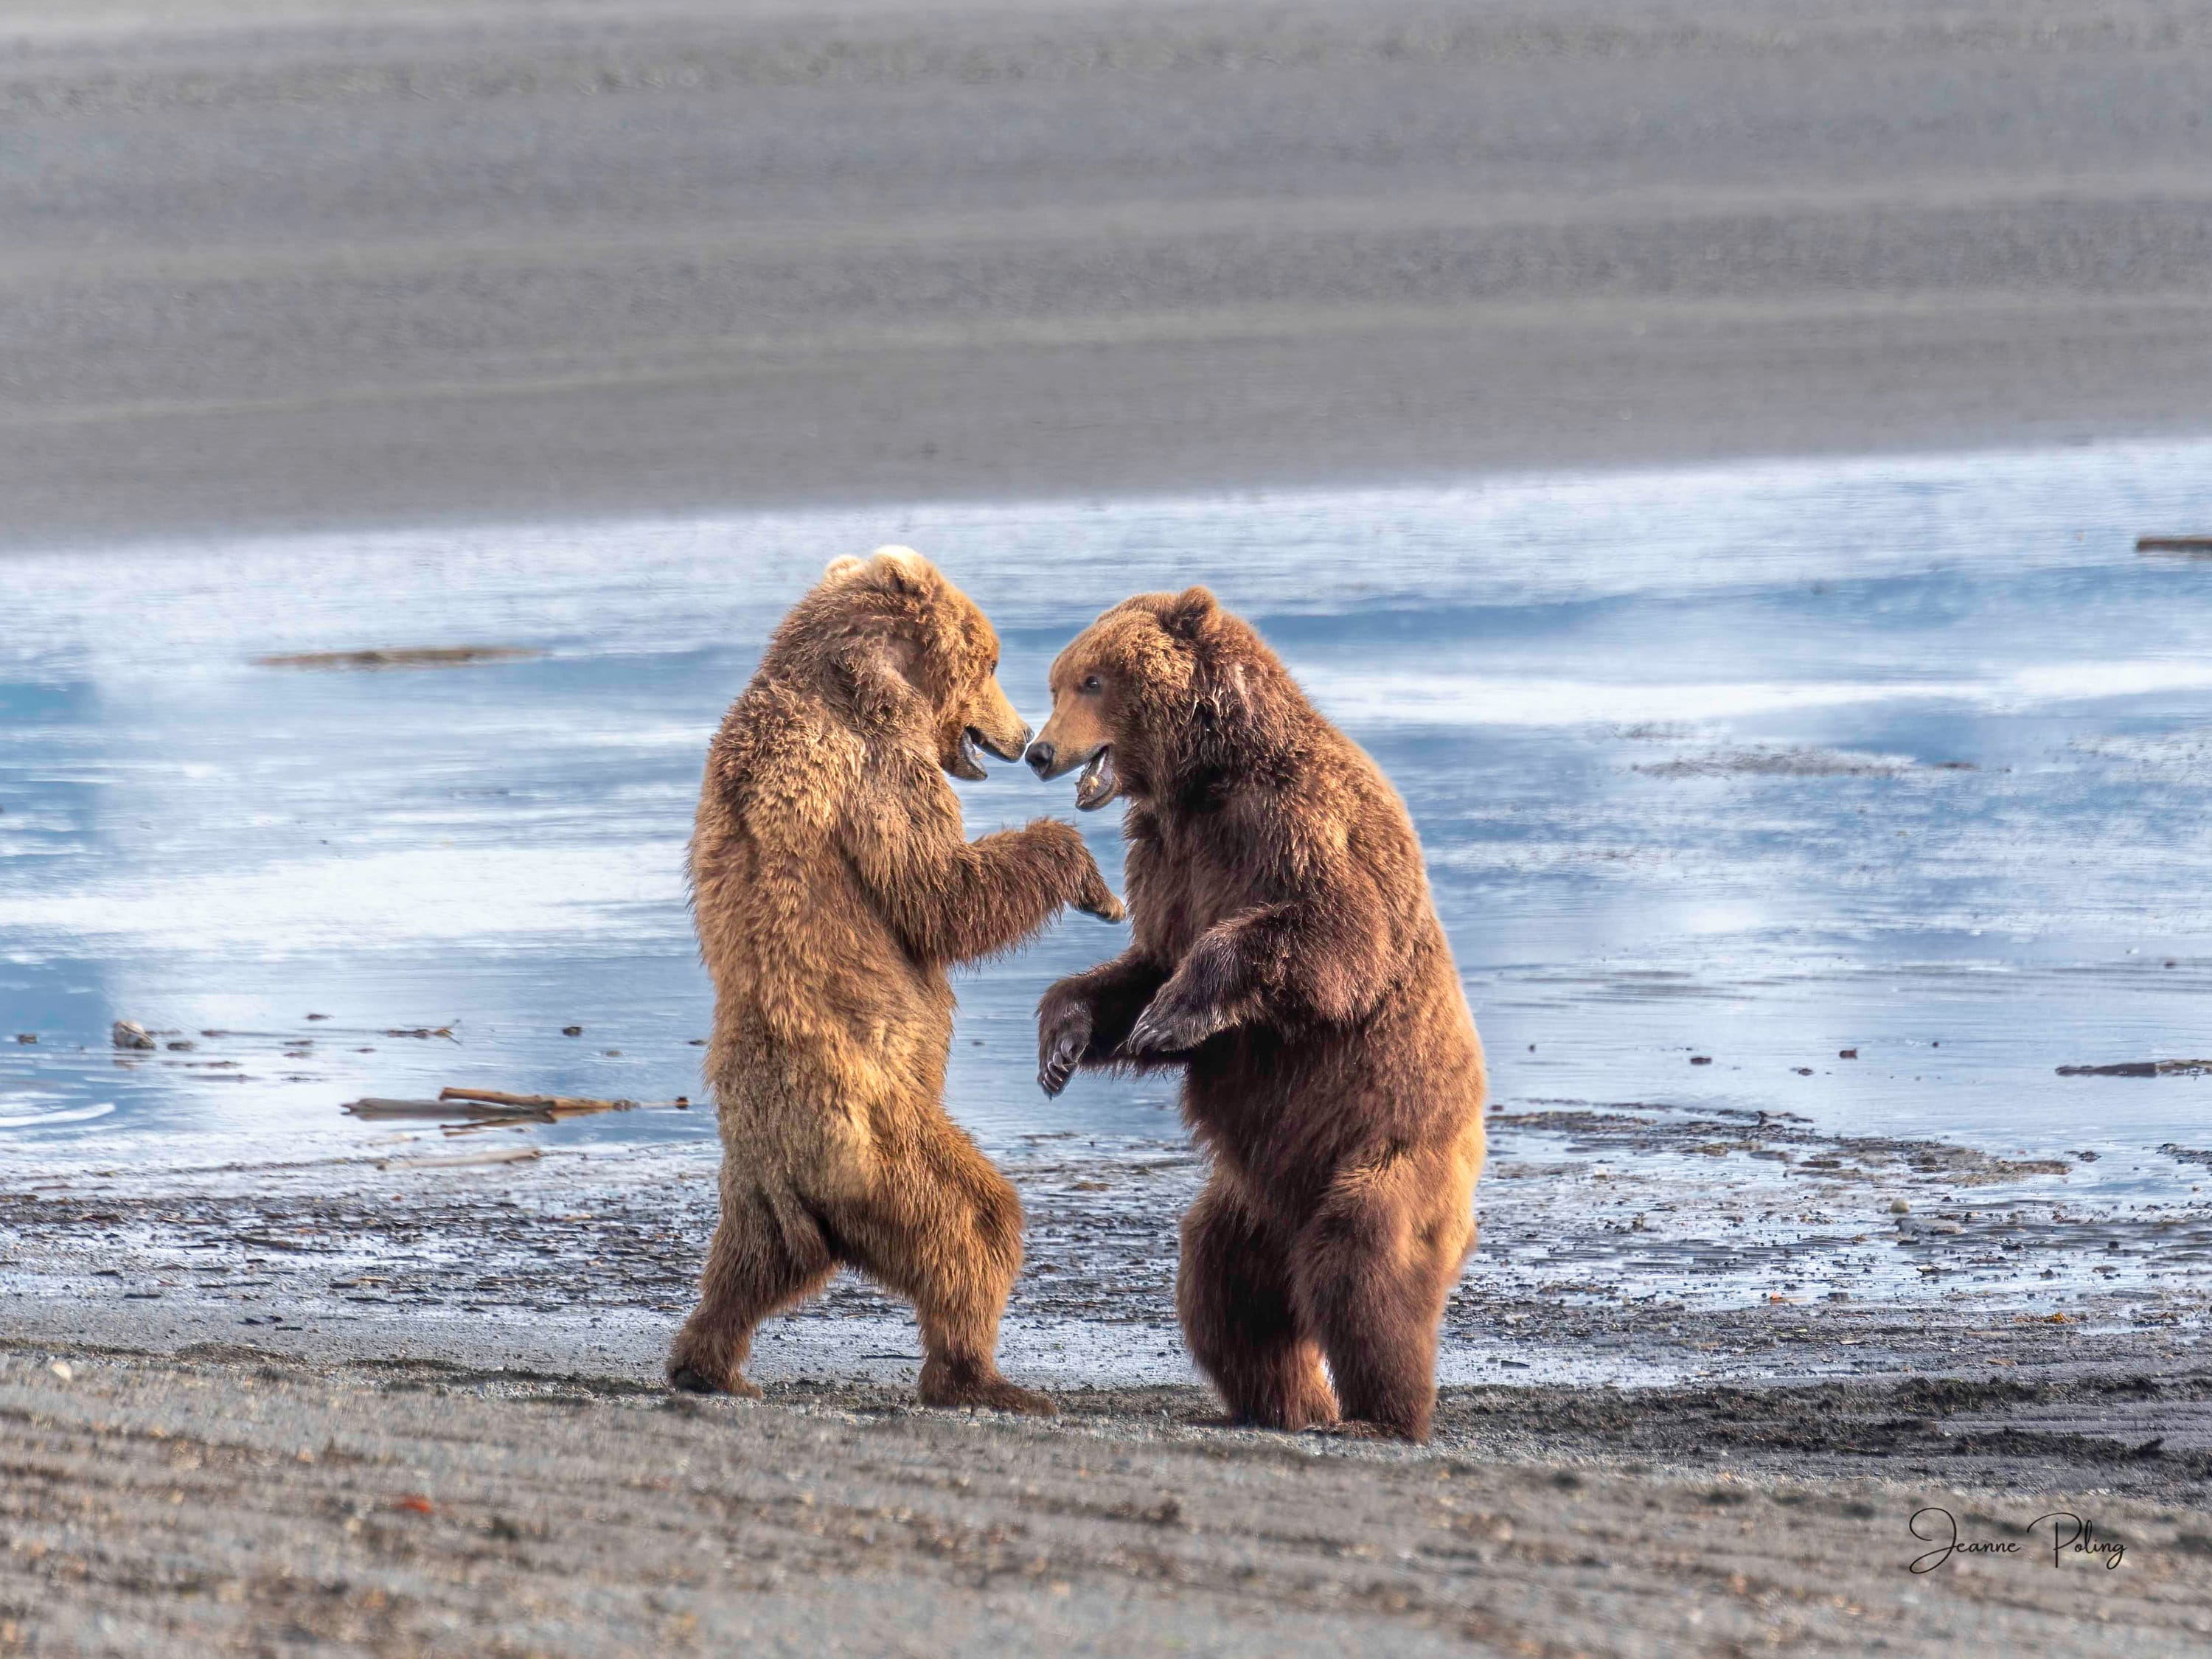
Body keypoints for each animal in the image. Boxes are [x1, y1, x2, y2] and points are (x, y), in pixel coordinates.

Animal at [669, 546, 1123, 1414]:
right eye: (991, 661)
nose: (1025, 738)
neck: (864, 689)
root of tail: (783, 1163)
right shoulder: (878, 774)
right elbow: (937, 893)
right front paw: (1091, 879)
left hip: (762, 1186)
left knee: (749, 1265)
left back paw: (705, 1362)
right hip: (877, 1133)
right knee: (969, 1223)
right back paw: (981, 1377)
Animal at [1026, 587, 1486, 1441]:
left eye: (1093, 681)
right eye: (1058, 681)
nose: (1039, 752)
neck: (1202, 781)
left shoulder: (1294, 825)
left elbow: (1333, 936)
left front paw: (1171, 1014)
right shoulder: (1169, 863)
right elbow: (1147, 962)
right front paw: (1063, 1042)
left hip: (1388, 1149)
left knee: (1365, 1263)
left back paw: (1378, 1413)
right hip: (1254, 1201)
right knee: (1224, 1287)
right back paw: (1283, 1400)